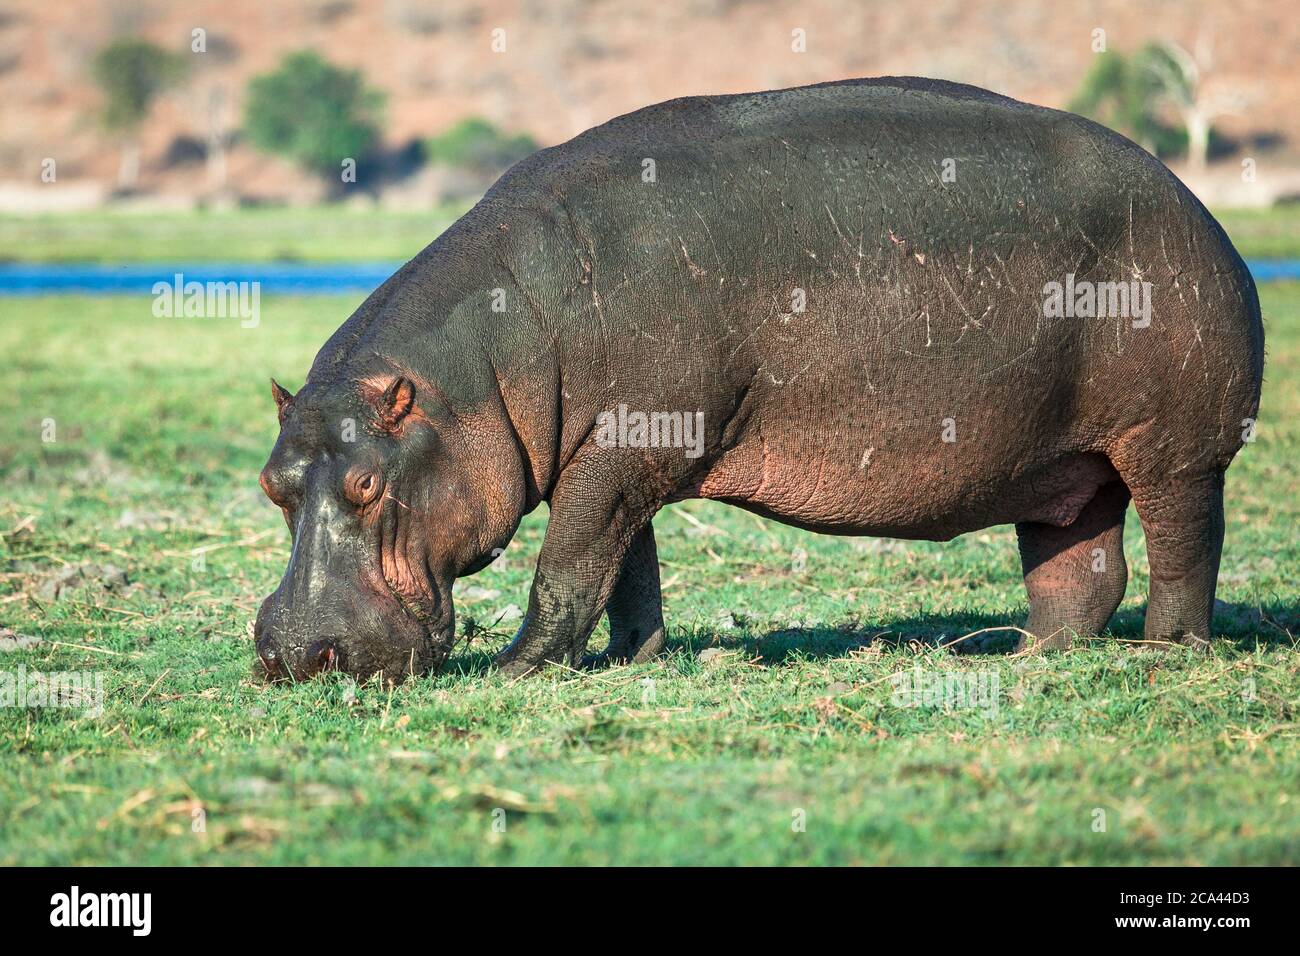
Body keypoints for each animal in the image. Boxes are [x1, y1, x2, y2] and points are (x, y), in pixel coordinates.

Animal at [254, 76, 1264, 682]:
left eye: (367, 483)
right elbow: (624, 567)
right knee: (1080, 569)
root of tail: (1193, 201)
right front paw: (639, 658)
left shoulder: (618, 452)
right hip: (1060, 464)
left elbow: (566, 567)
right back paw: (1019, 657)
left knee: (1183, 546)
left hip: (1175, 448)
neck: (492, 362)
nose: (294, 653)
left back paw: (1169, 654)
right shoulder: (619, 452)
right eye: (270, 486)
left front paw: (515, 669)